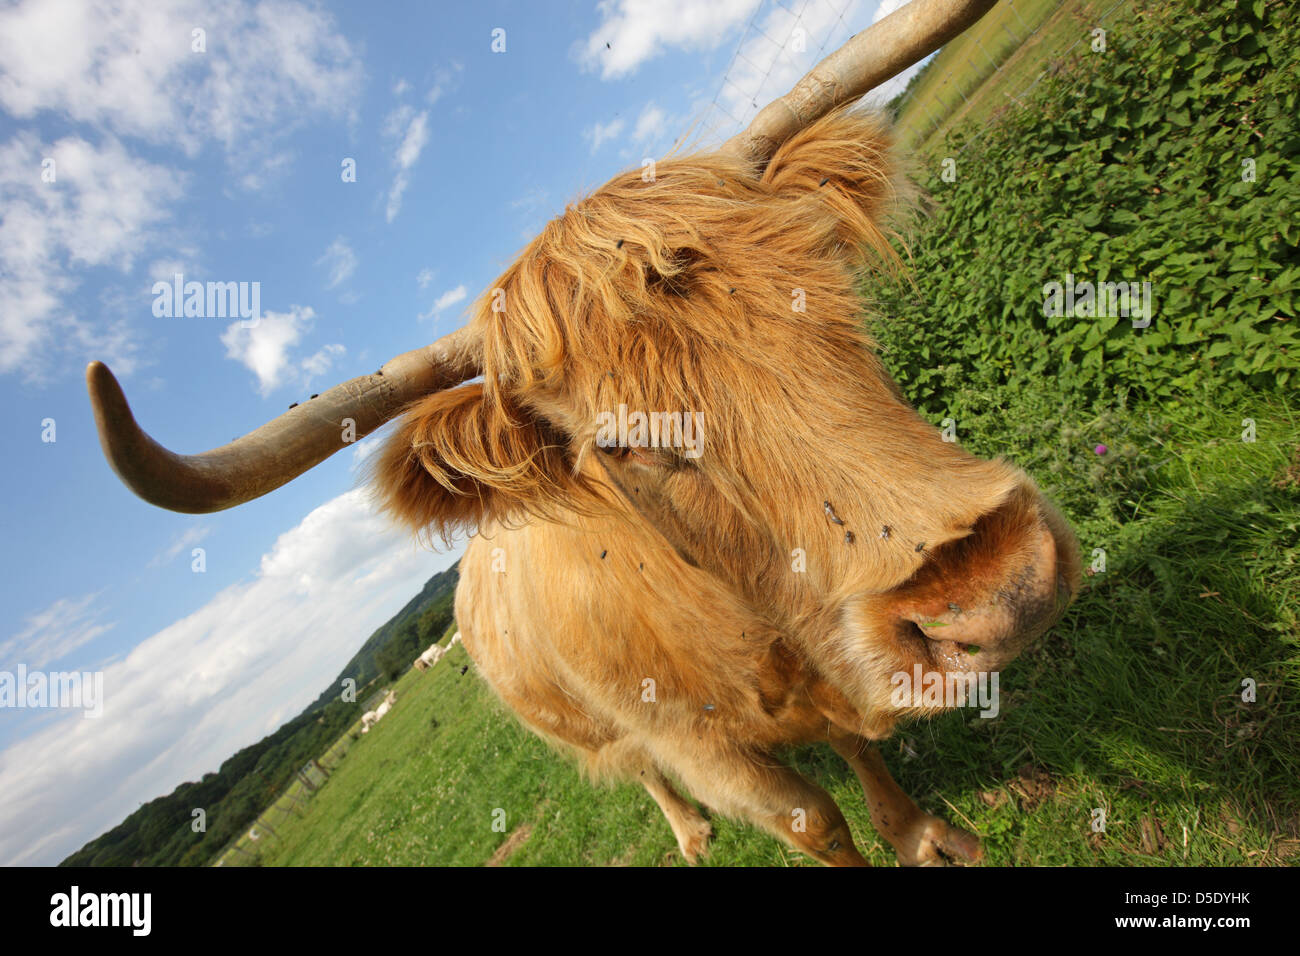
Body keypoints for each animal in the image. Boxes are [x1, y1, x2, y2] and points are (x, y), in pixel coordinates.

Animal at [85, 0, 1077, 865]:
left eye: (827, 284)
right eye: (619, 445)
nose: (998, 587)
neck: (749, 626)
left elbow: (859, 749)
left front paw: (922, 834)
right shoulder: (706, 750)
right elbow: (813, 822)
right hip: (594, 736)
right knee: (636, 773)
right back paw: (688, 835)